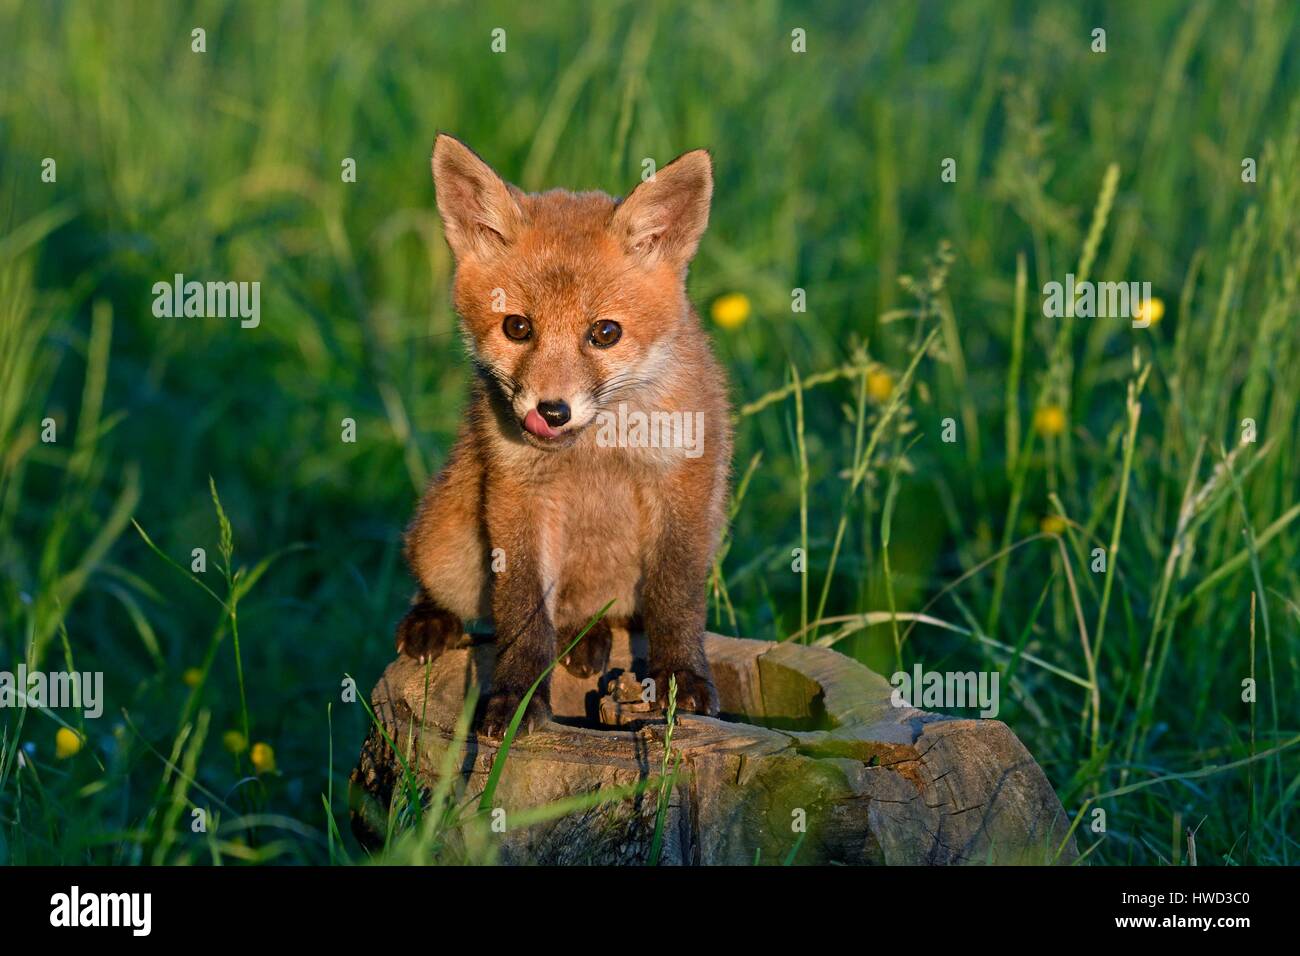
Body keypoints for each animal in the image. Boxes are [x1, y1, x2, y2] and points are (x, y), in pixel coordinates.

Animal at [396, 133, 732, 737]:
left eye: (605, 333)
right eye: (517, 327)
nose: (550, 412)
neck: (597, 448)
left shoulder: (682, 481)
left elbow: (676, 599)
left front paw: (681, 680)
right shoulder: (518, 493)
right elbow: (523, 615)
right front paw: (516, 699)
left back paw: (588, 636)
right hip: (448, 542)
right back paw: (432, 618)